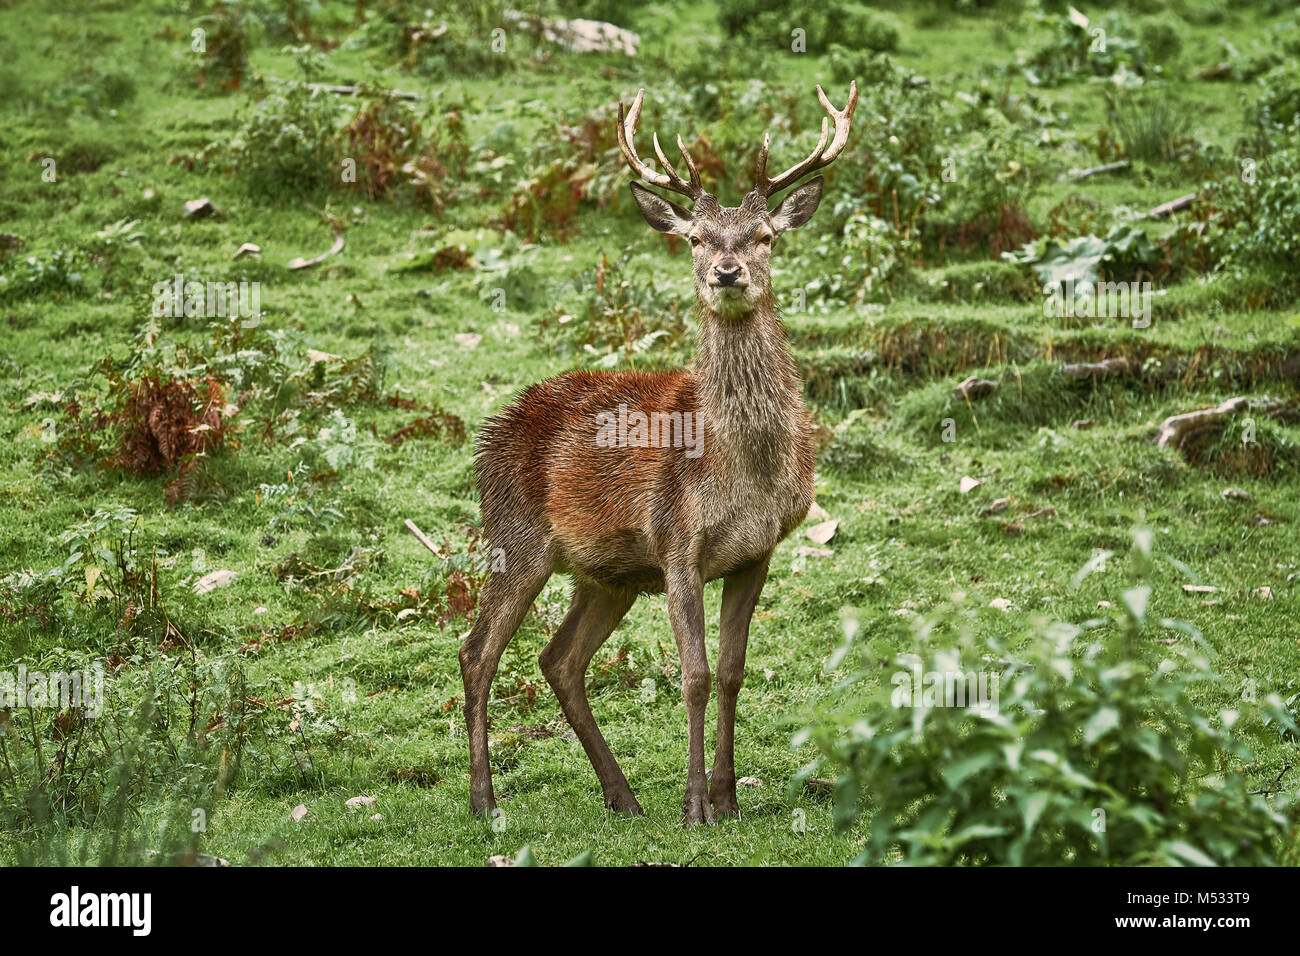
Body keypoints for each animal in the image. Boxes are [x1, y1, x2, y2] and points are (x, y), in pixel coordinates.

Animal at [460, 82, 858, 824]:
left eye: (765, 237)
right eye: (695, 238)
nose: (727, 272)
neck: (744, 469)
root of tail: (491, 430)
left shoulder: (758, 551)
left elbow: (731, 672)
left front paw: (727, 798)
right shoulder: (677, 541)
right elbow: (694, 675)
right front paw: (696, 803)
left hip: (606, 575)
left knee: (559, 660)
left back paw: (622, 796)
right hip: (515, 536)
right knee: (477, 652)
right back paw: (483, 799)